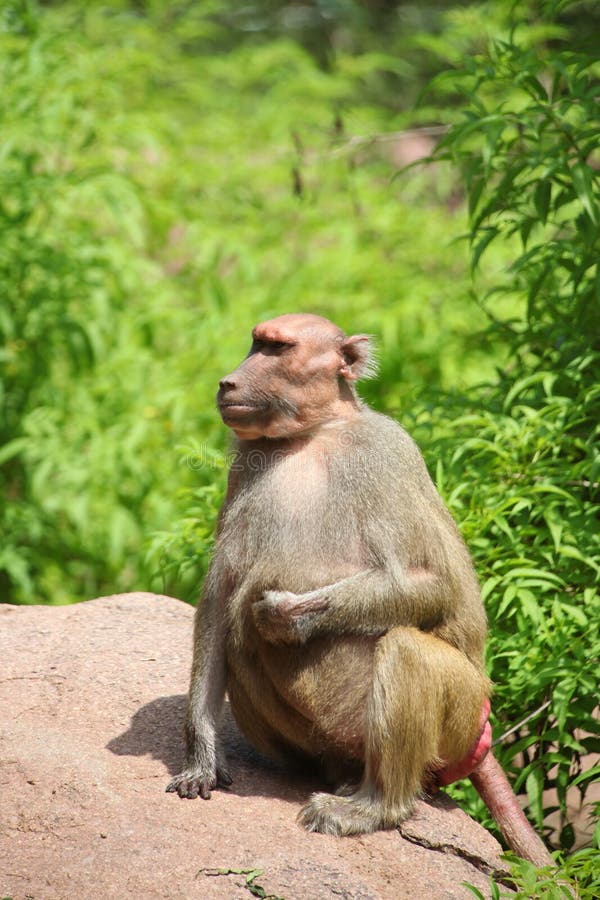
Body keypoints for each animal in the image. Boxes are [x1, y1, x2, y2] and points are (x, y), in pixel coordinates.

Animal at [167, 313, 553, 868]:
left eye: (277, 349)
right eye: (256, 343)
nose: (228, 383)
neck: (315, 433)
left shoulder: (385, 452)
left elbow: (433, 585)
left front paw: (284, 616)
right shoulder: (244, 465)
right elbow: (222, 600)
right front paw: (201, 756)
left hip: (460, 719)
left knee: (407, 650)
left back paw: (373, 807)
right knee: (241, 644)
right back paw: (341, 776)